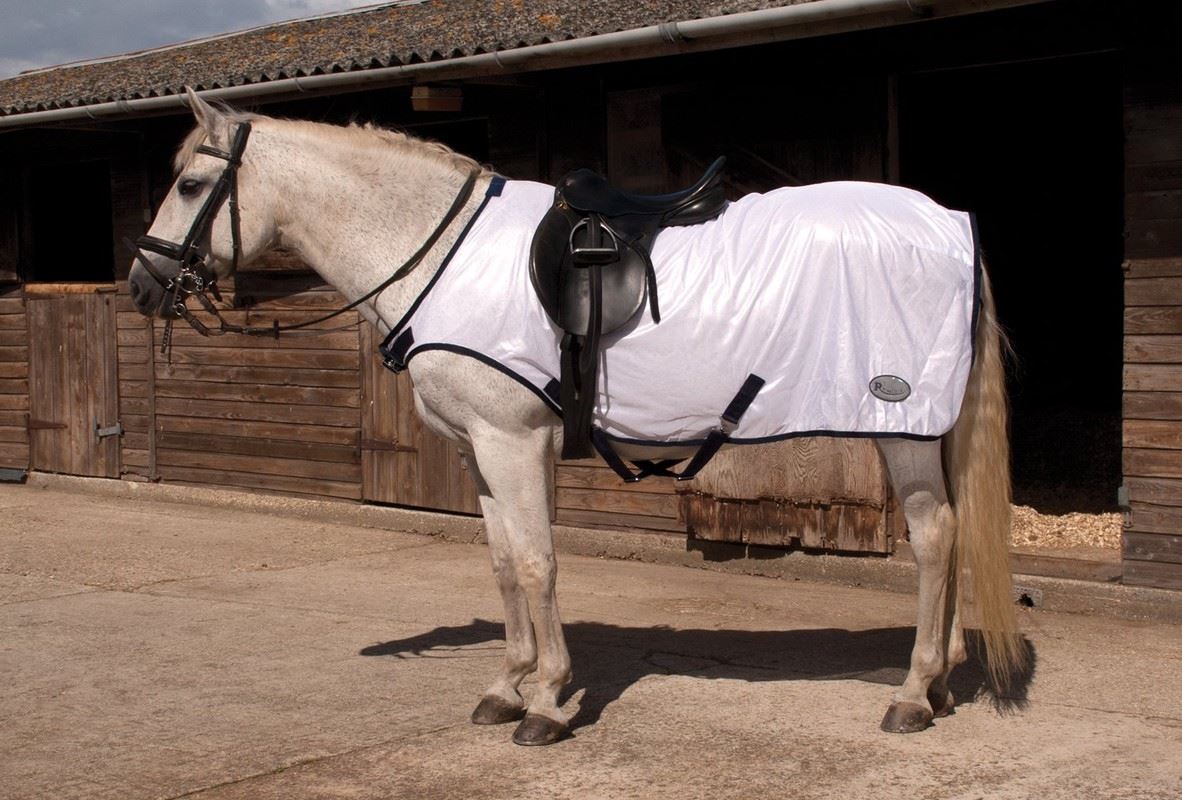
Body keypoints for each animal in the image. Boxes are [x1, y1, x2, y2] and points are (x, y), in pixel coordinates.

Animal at [128, 89, 1025, 746]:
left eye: (191, 186)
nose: (141, 285)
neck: (441, 250)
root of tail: (948, 225)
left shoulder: (513, 441)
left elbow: (537, 564)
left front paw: (548, 702)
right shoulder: (481, 452)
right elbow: (501, 564)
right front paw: (506, 685)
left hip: (903, 429)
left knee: (935, 537)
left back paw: (912, 693)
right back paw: (942, 681)